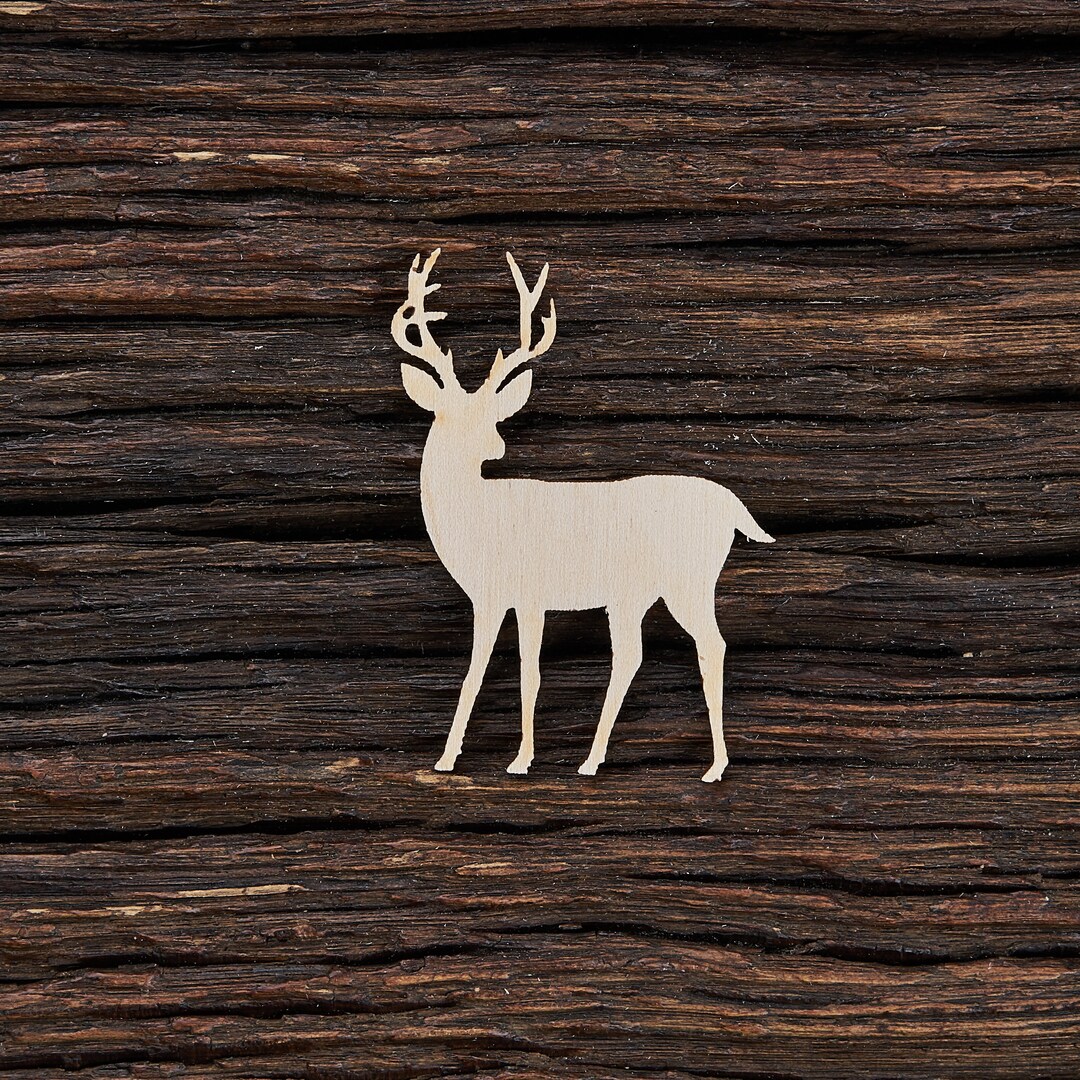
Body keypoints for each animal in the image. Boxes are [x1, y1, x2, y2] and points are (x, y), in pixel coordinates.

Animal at [392, 249, 774, 782]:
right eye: (447, 415)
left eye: (494, 415)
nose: (497, 447)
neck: (477, 521)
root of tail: (733, 508)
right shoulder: (499, 597)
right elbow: (486, 670)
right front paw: (454, 757)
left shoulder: (522, 591)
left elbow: (515, 671)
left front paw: (515, 759)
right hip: (637, 593)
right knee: (637, 653)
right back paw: (596, 757)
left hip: (687, 578)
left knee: (708, 645)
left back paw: (709, 766)